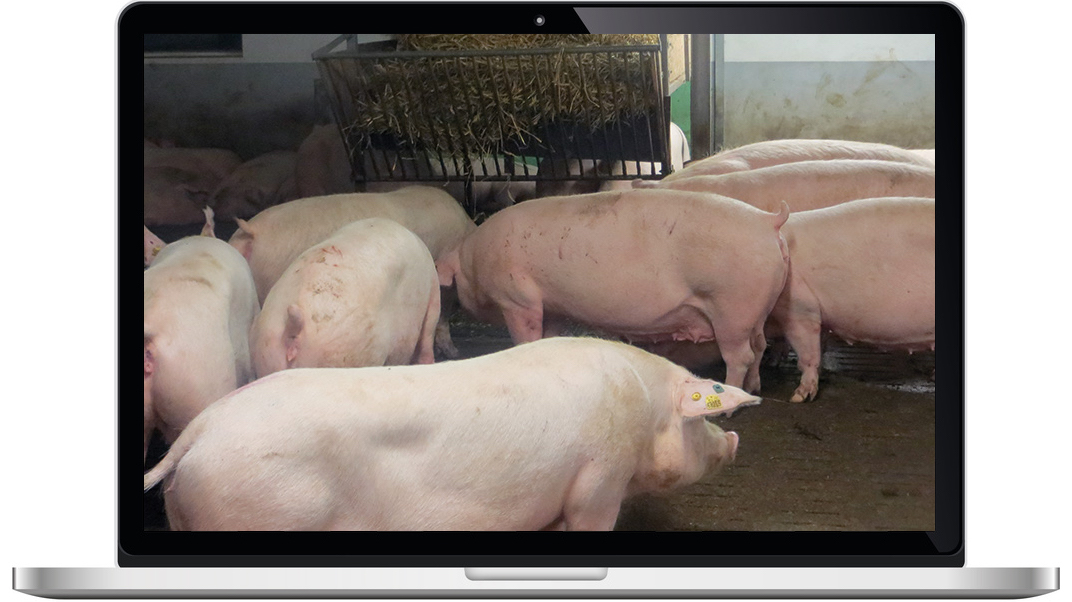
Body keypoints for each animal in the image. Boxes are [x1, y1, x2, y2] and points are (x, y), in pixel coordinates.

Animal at [436, 189, 790, 393]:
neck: (473, 260)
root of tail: (768, 221)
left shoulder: (517, 300)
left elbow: (525, 336)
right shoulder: (553, 305)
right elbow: (550, 334)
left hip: (731, 307)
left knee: (741, 355)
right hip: (756, 310)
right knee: (759, 346)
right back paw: (754, 390)